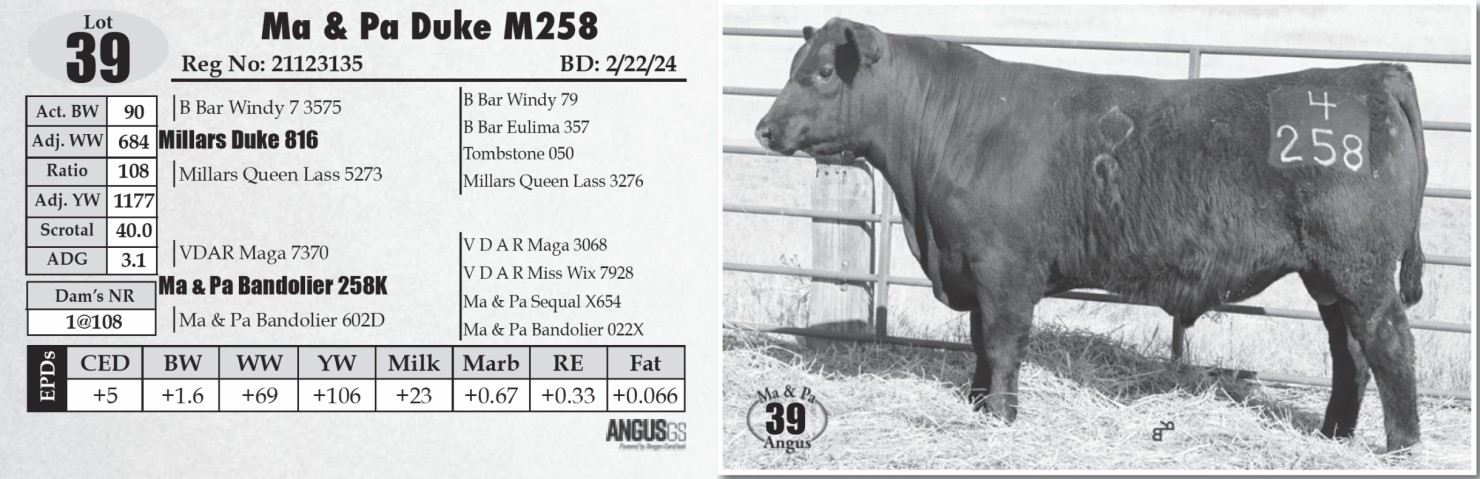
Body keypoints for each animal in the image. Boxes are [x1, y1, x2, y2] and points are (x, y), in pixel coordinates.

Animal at [754, 18, 1428, 452]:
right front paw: (977, 407)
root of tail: (1373, 74)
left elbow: (1002, 345)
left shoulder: (1004, 270)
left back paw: (1400, 446)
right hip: (1328, 275)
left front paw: (1001, 417)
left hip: (1361, 270)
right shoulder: (971, 266)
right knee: (1350, 354)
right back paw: (1334, 436)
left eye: (822, 72)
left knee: (1390, 345)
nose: (763, 129)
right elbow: (978, 345)